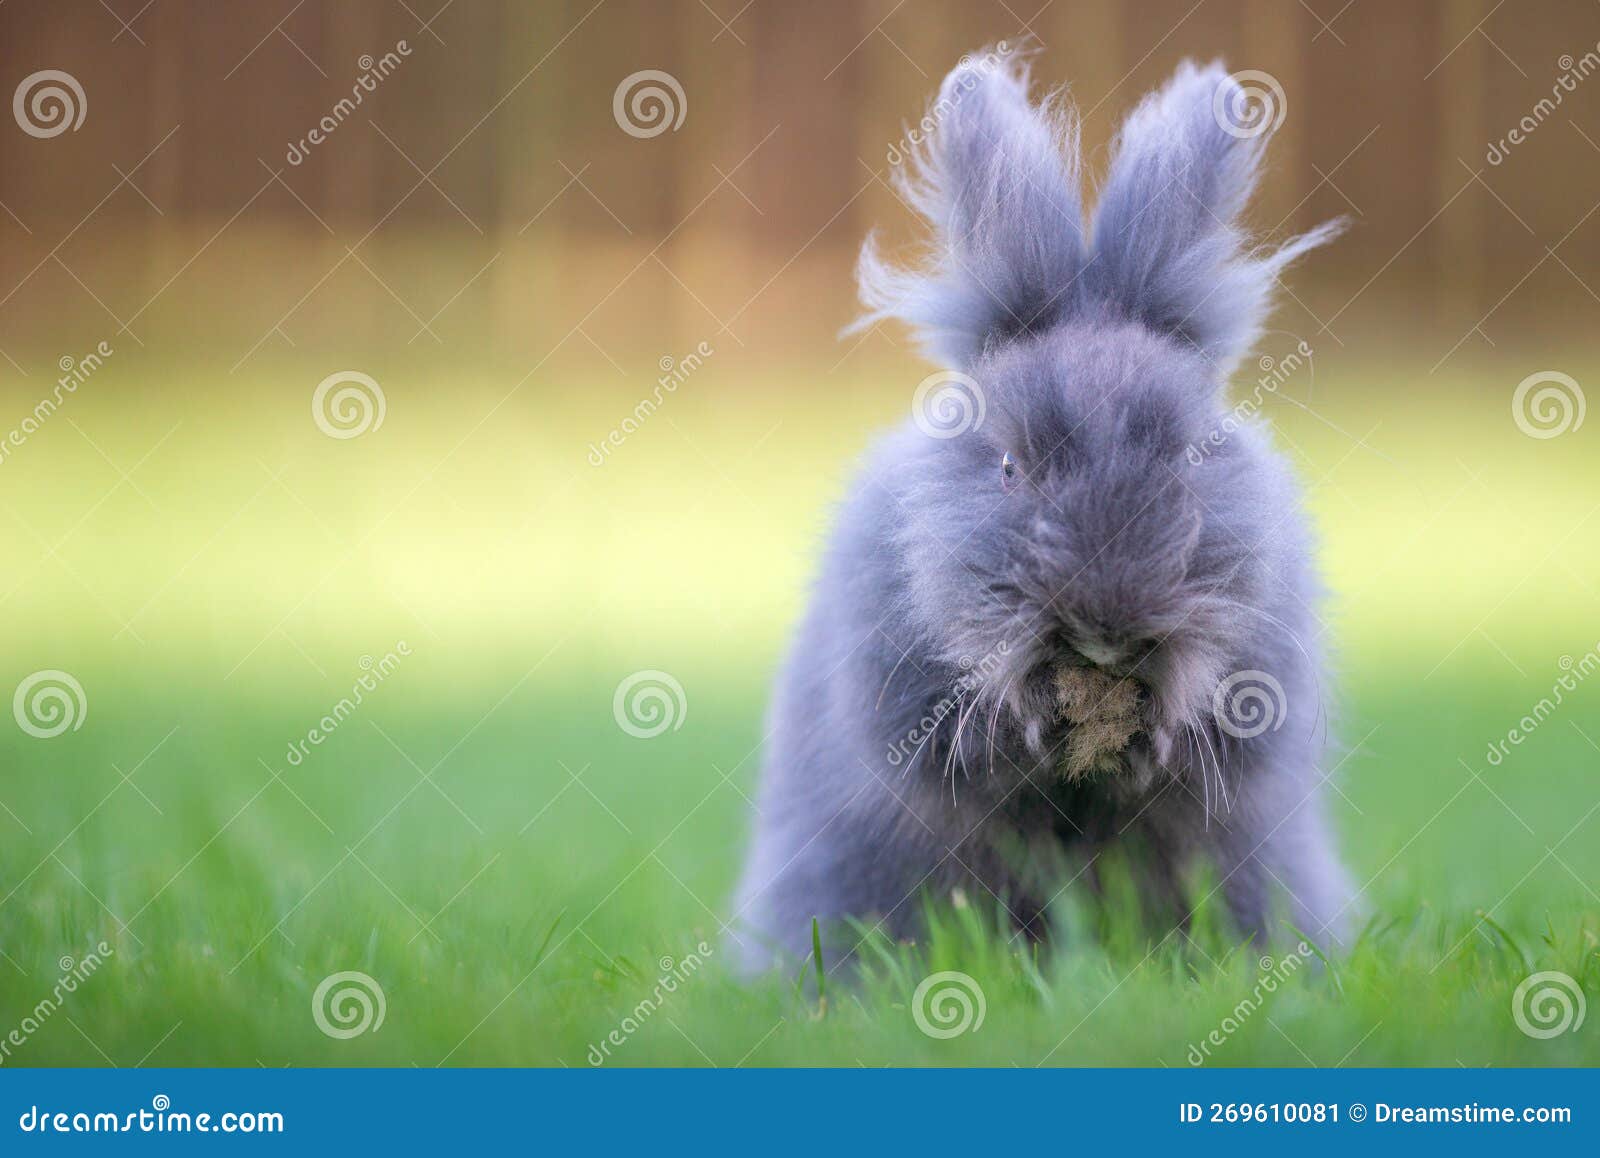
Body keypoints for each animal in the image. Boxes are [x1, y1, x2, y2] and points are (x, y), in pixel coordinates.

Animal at [732, 50, 1356, 972]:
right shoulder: (901, 695)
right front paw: (1042, 727)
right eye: (1007, 467)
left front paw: (1143, 737)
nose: (1106, 626)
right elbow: (960, 749)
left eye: (1192, 454)